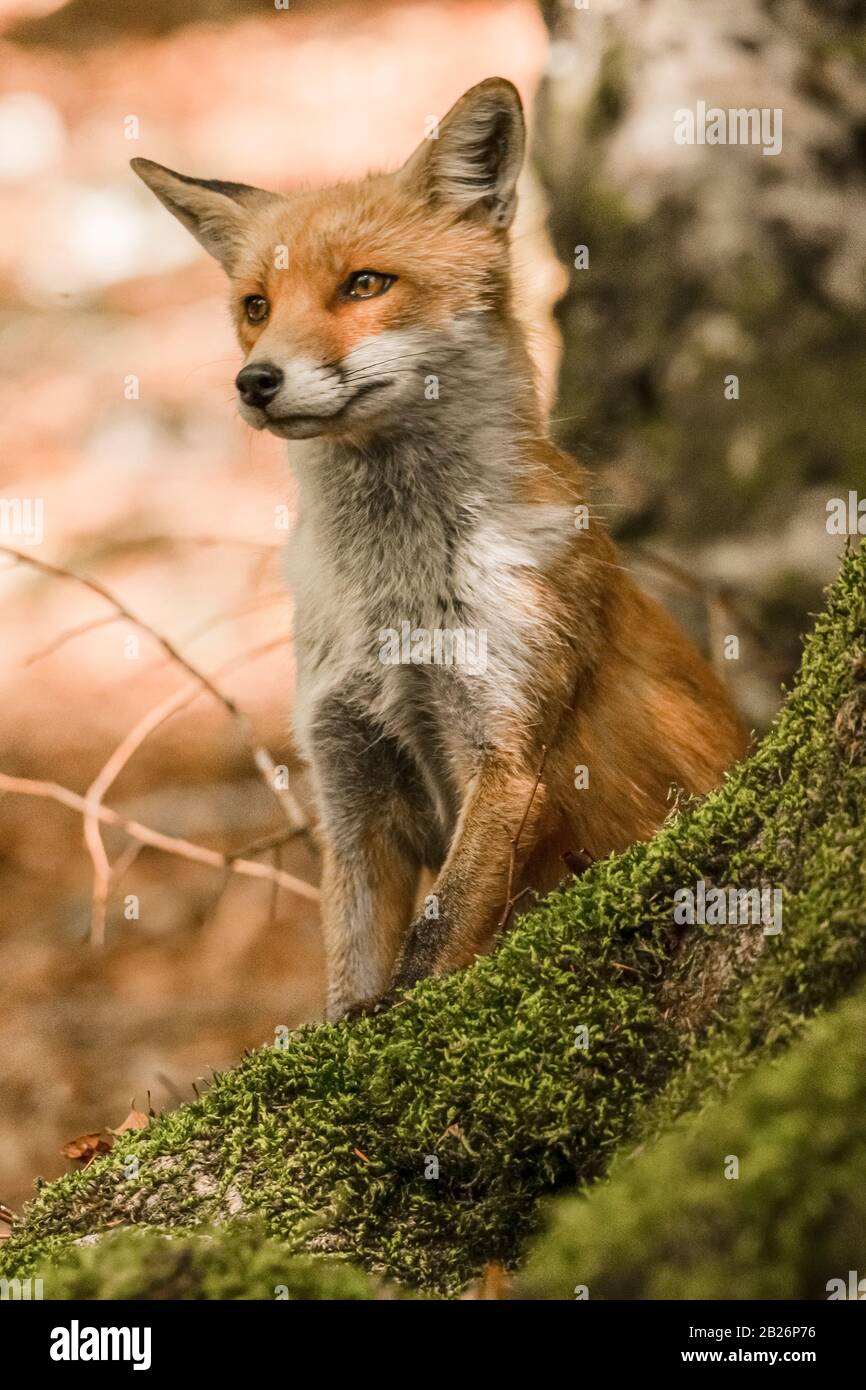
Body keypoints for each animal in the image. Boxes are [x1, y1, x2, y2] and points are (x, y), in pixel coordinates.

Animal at [132, 78, 748, 1021]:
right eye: (256, 307)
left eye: (364, 285)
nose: (255, 381)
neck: (399, 587)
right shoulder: (352, 789)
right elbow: (349, 973)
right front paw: (345, 1031)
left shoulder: (511, 763)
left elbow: (431, 950)